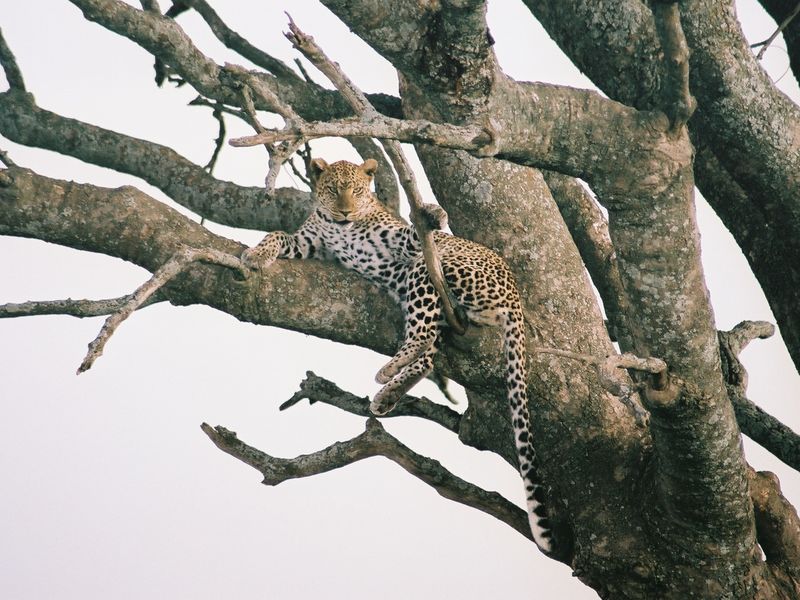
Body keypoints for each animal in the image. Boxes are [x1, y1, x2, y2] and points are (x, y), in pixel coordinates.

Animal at [241, 158, 554, 553]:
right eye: (333, 189)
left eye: (357, 190)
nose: (346, 211)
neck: (341, 227)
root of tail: (515, 294)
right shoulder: (309, 243)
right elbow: (280, 234)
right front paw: (256, 254)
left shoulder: (401, 241)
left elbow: (415, 235)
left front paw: (433, 215)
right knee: (428, 350)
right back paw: (389, 393)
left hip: (431, 269)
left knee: (422, 334)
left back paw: (387, 372)